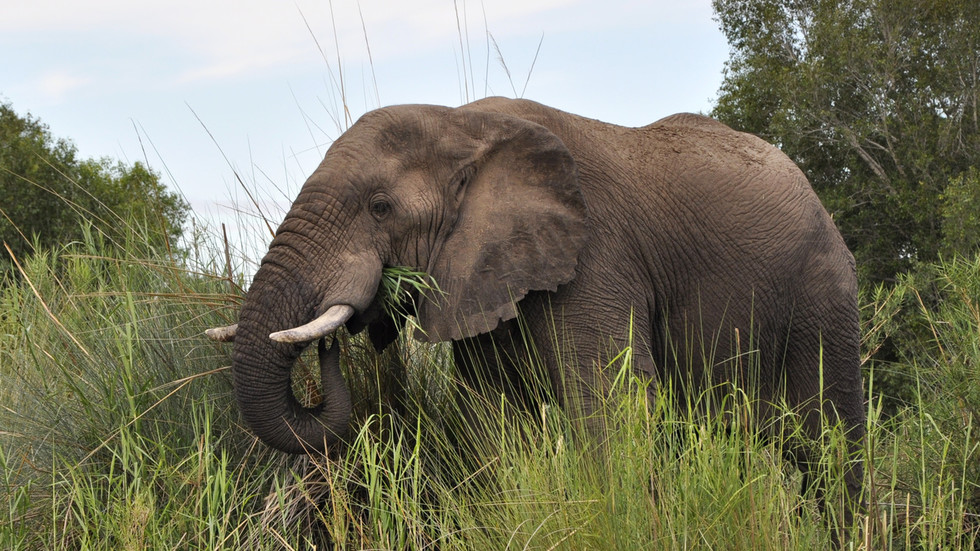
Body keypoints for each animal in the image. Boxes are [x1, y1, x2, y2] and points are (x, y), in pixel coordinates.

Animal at [207, 97, 864, 525]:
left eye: (379, 207)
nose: (328, 341)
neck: (463, 122)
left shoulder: (597, 257)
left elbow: (614, 408)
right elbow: (492, 422)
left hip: (823, 295)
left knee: (831, 450)